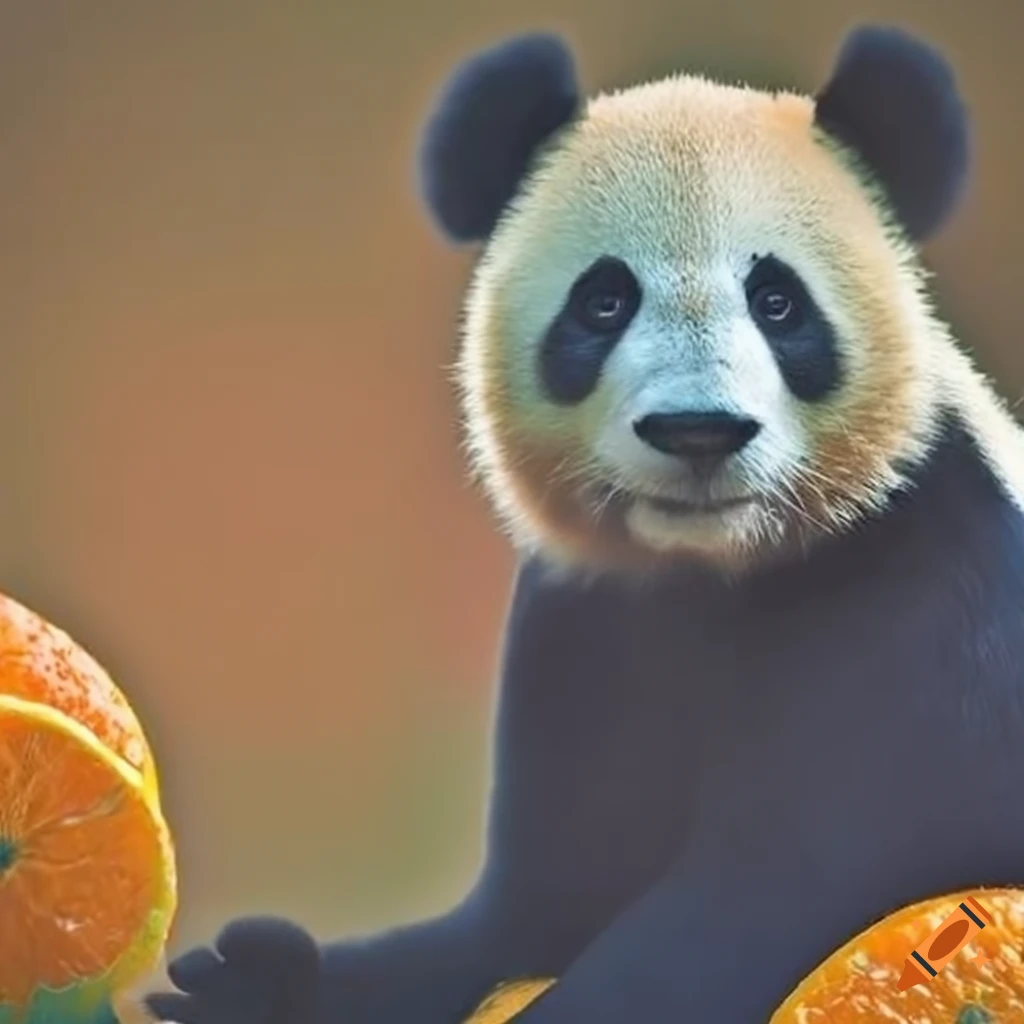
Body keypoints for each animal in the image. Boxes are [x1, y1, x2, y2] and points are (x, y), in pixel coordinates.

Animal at [146, 22, 1024, 1024]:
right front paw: (251, 978)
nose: (698, 429)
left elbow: (770, 888)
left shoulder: (929, 607)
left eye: (778, 302)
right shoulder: (591, 633)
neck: (720, 571)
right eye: (604, 302)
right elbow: (526, 916)